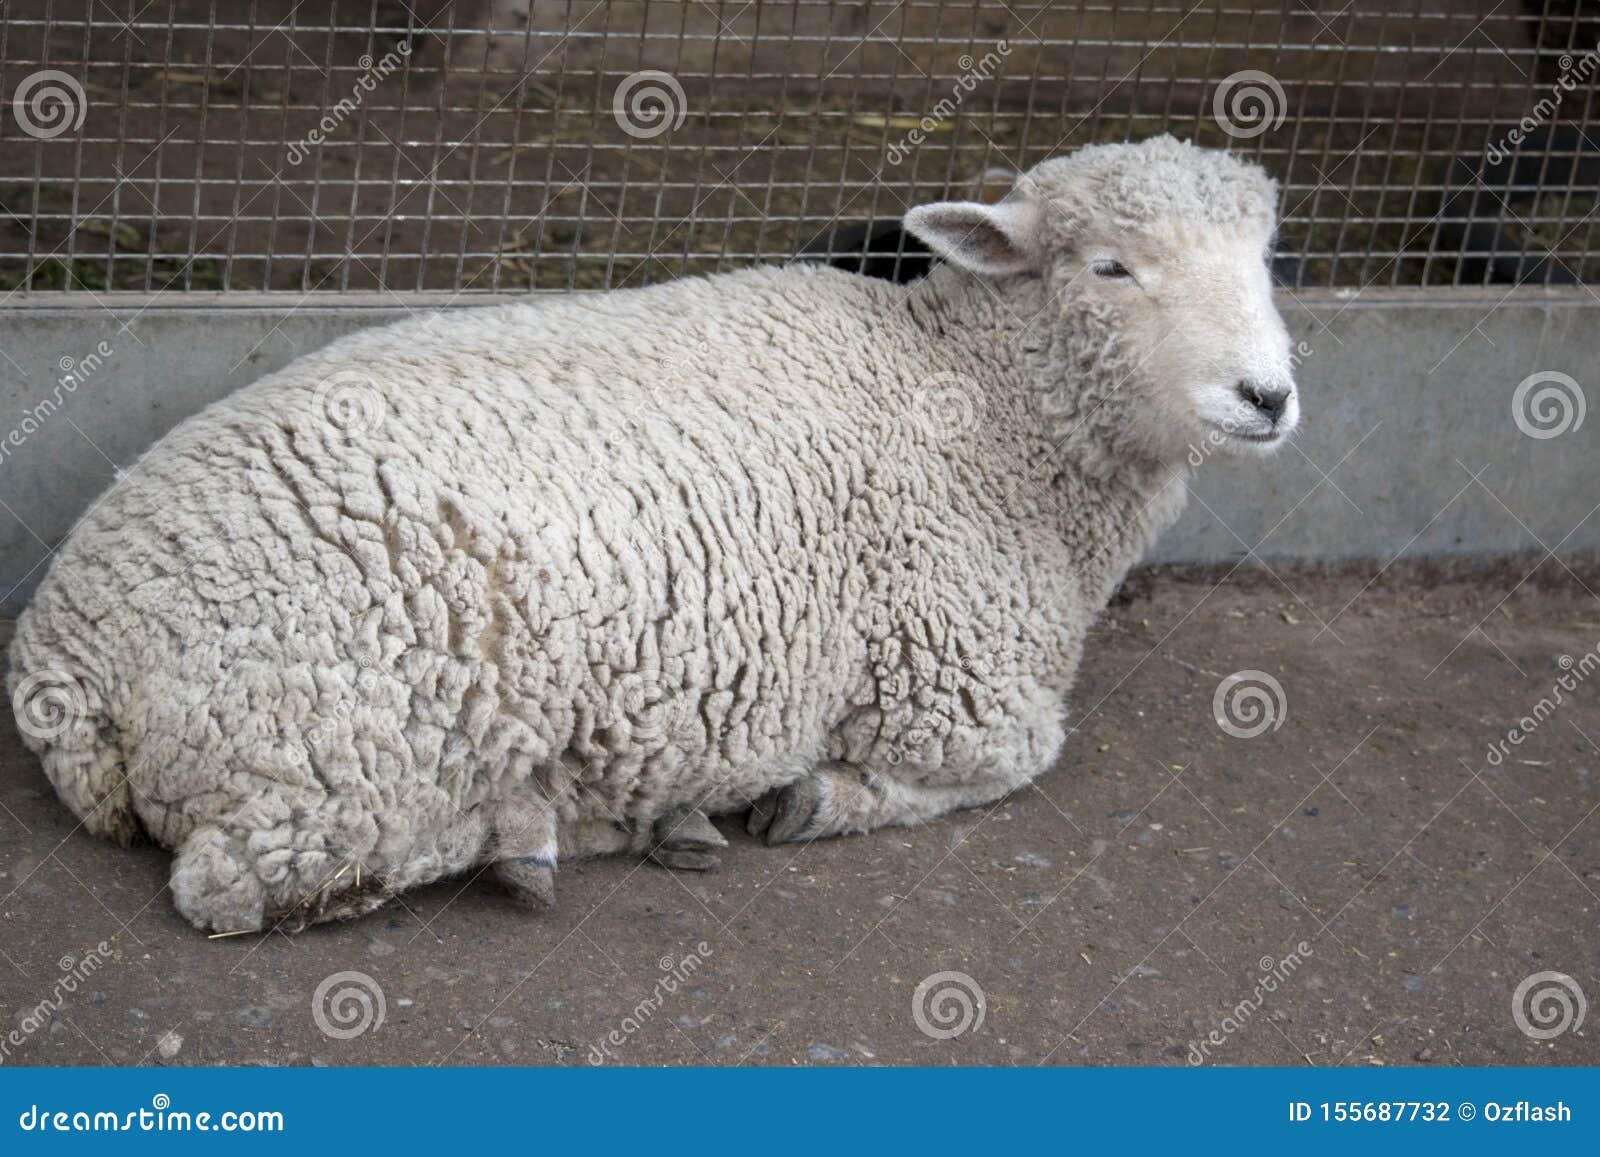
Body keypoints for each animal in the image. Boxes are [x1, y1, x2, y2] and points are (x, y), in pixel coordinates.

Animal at [7, 135, 1299, 933]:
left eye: (1265, 261)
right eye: (1110, 266)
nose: (1268, 397)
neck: (978, 397)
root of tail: (69, 654)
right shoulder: (954, 686)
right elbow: (1014, 760)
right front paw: (818, 798)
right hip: (334, 745)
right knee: (242, 886)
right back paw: (533, 831)